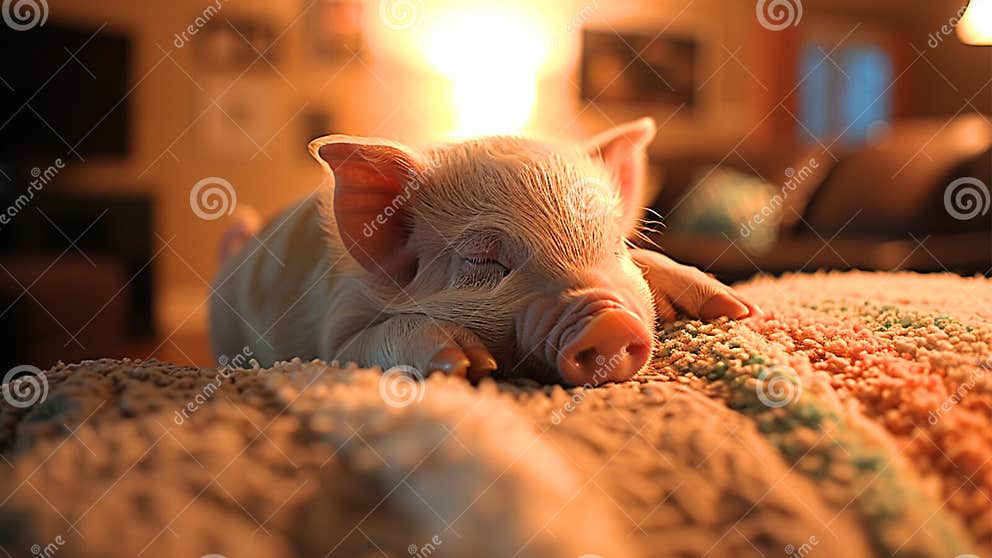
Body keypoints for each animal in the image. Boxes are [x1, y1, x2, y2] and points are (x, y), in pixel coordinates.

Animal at [209, 118, 759, 386]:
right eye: (485, 261)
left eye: (614, 245)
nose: (610, 321)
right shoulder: (334, 331)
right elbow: (368, 343)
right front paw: (468, 365)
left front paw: (736, 308)